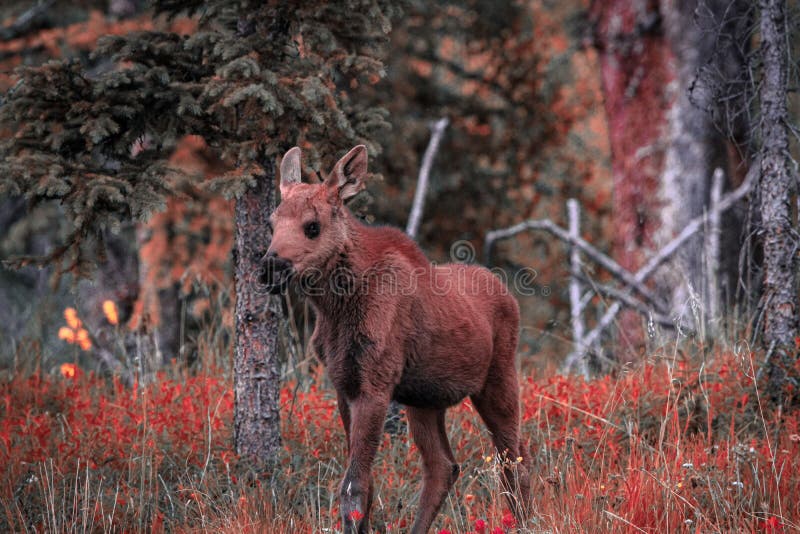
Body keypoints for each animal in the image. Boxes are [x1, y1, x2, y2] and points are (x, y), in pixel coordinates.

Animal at [259, 145, 531, 533]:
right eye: (271, 223)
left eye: (312, 226)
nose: (270, 268)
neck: (335, 308)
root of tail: (507, 294)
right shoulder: (344, 385)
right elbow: (367, 484)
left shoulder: (375, 384)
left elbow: (353, 485)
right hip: (425, 399)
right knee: (444, 466)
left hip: (498, 380)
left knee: (515, 460)